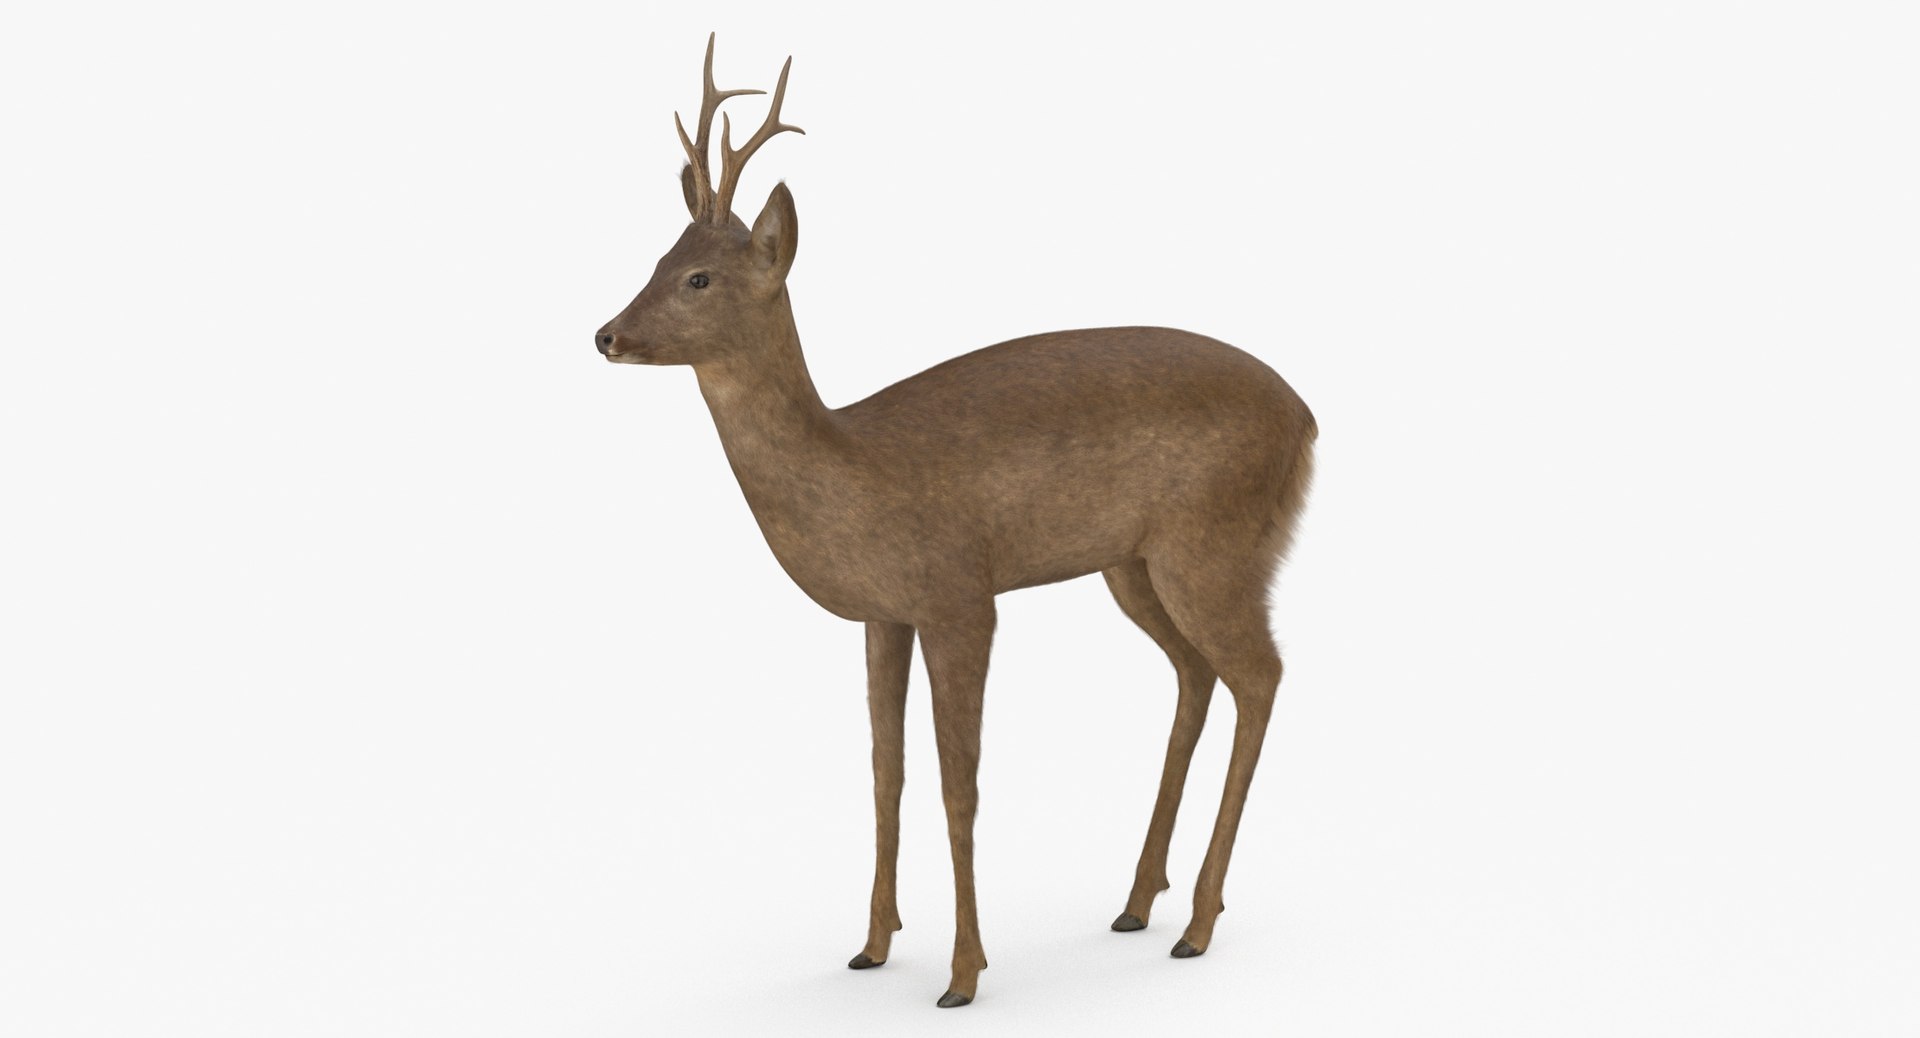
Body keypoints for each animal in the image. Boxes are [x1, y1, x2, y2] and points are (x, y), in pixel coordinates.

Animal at [594, 35, 1317, 1009]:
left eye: (700, 276)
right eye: (659, 256)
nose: (605, 334)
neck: (850, 466)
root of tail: (1308, 419)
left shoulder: (959, 598)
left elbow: (958, 782)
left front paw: (963, 974)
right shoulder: (883, 613)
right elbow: (885, 771)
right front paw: (870, 945)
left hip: (1214, 545)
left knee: (1261, 674)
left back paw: (1197, 926)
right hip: (1134, 566)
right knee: (1198, 676)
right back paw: (1136, 903)